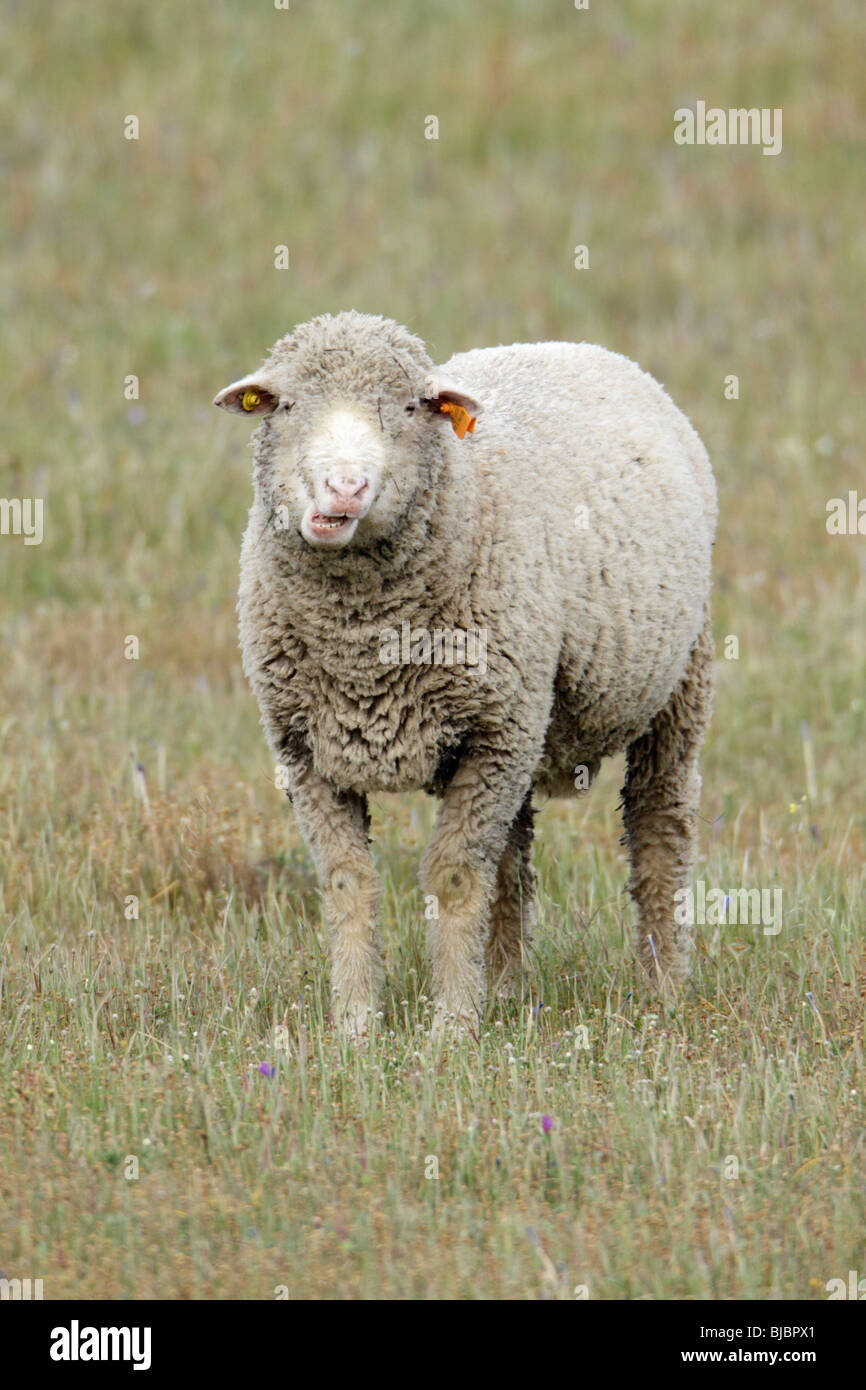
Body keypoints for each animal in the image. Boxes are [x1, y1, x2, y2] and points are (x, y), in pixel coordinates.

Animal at [214, 311, 717, 1034]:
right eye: (285, 407)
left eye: (407, 408)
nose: (345, 488)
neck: (363, 644)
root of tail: (572, 343)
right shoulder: (303, 749)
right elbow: (347, 880)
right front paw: (356, 1025)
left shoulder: (494, 733)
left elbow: (453, 877)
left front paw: (450, 1026)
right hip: (521, 729)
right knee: (512, 859)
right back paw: (504, 985)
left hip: (672, 684)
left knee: (659, 830)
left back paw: (663, 986)